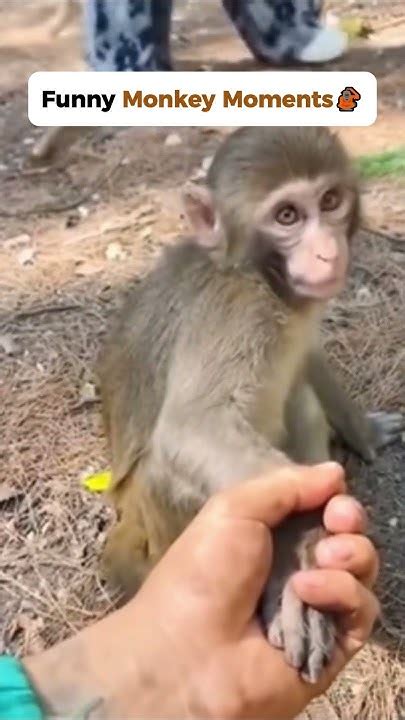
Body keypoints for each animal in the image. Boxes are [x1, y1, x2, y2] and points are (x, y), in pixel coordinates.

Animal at [97, 126, 404, 684]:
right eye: (287, 216)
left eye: (330, 201)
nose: (327, 254)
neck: (264, 280)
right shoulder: (234, 312)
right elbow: (192, 427)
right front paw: (300, 550)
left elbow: (307, 359)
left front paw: (362, 431)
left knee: (300, 400)